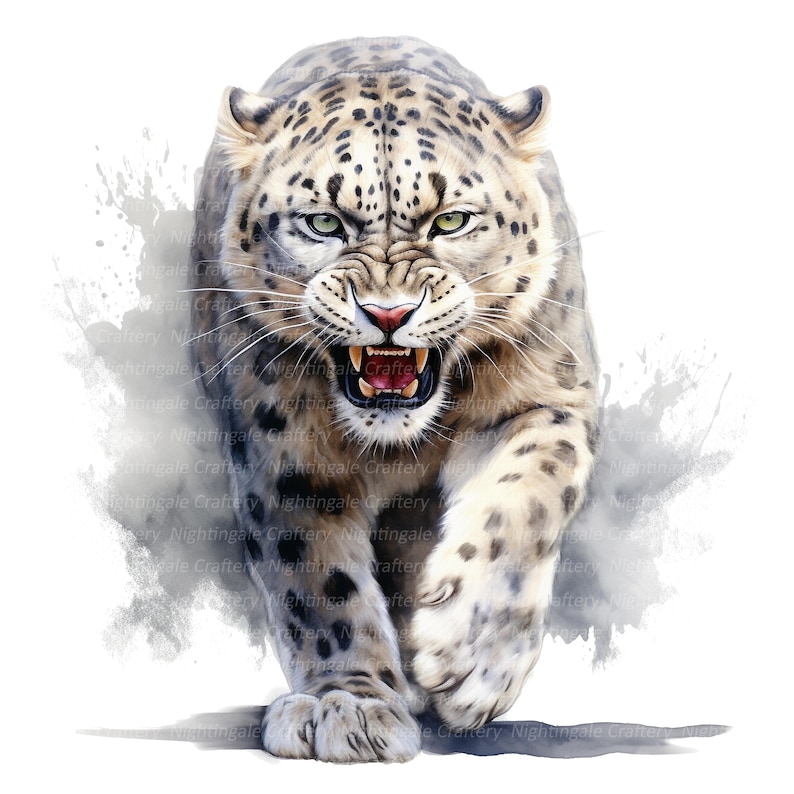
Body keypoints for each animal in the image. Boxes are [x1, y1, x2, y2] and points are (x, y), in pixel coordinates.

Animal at [189, 36, 599, 763]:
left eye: (451, 220)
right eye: (323, 222)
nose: (387, 312)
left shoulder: (547, 398)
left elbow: (526, 499)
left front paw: (470, 660)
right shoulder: (286, 459)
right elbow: (319, 586)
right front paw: (350, 706)